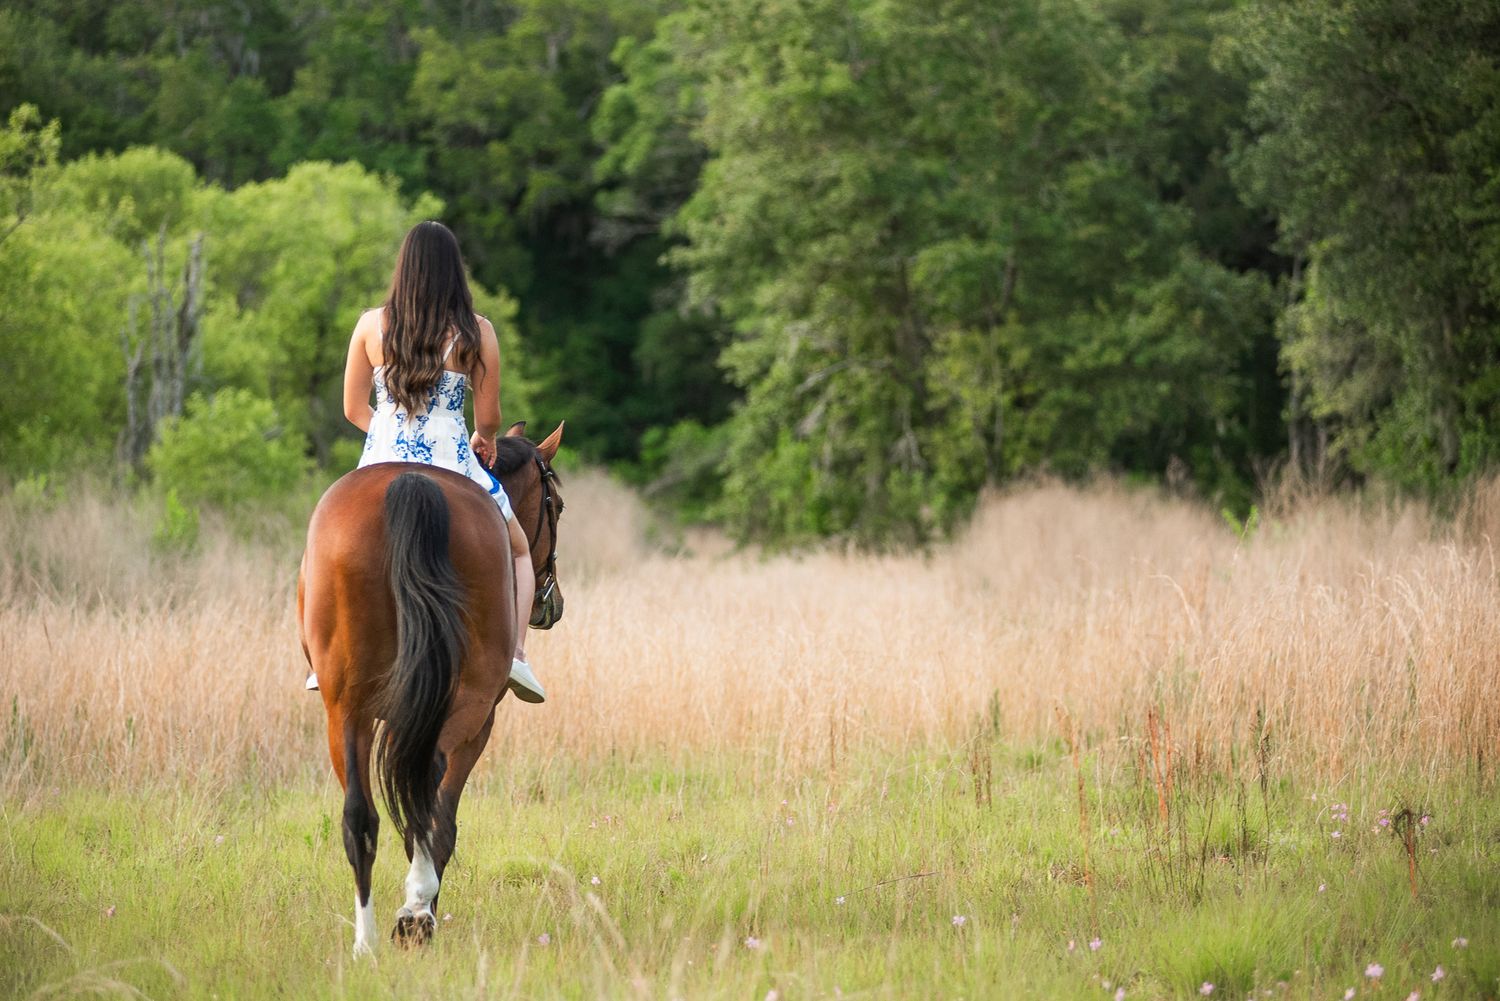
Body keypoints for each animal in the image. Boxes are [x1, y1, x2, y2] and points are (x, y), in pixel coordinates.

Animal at [297, 421, 565, 957]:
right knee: (427, 795)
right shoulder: (481, 724)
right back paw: (415, 915)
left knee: (359, 818)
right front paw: (425, 907)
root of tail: (411, 483)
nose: (555, 604)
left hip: (346, 709)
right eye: (558, 507)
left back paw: (367, 943)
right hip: (464, 707)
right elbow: (445, 820)